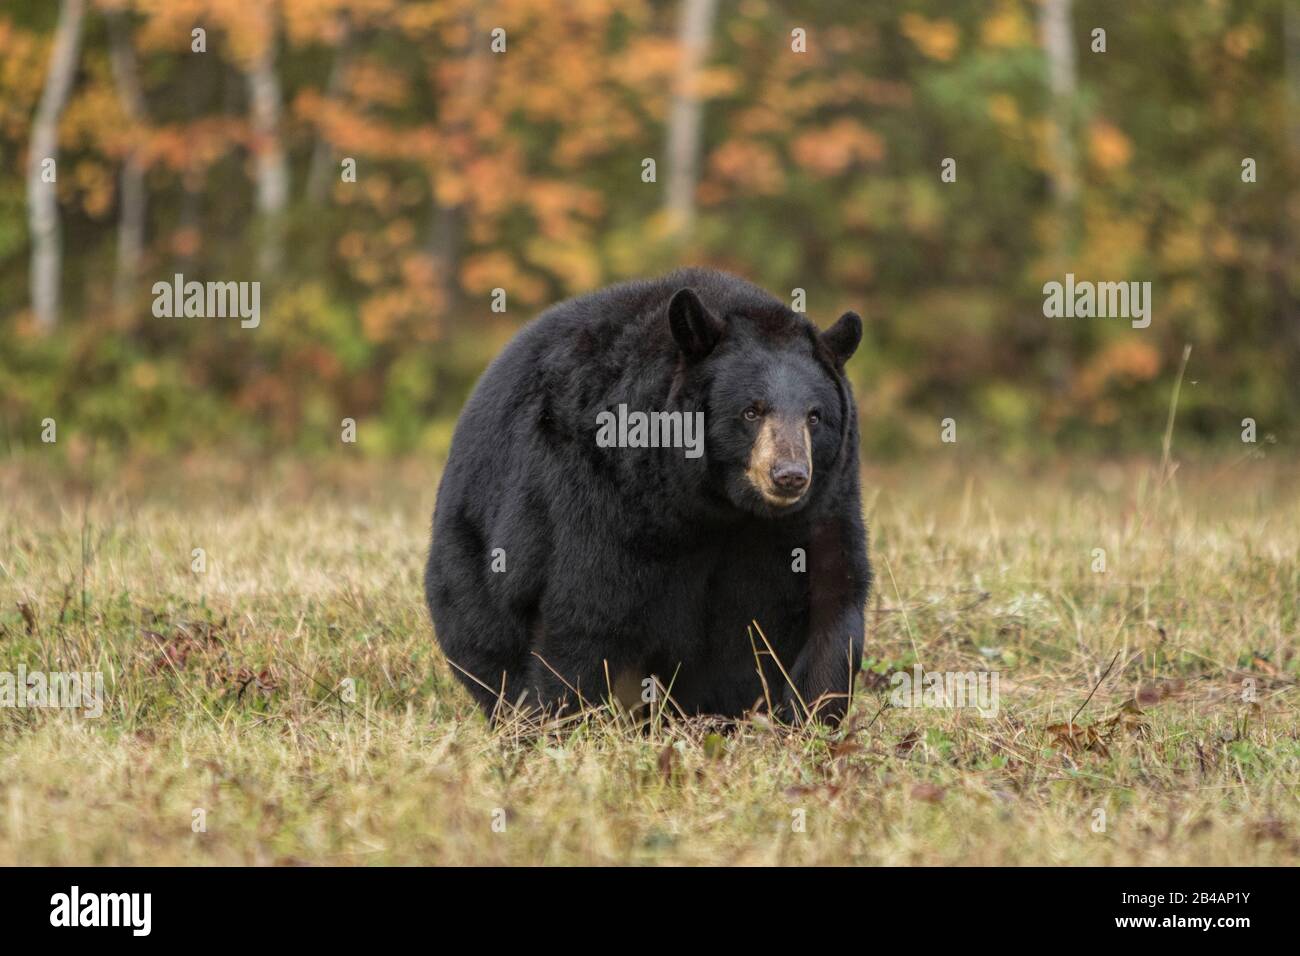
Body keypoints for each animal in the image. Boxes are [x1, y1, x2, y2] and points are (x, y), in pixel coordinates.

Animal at [424, 267, 871, 724]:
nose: (789, 475)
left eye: (814, 416)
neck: (719, 506)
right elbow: (587, 605)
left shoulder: (820, 508)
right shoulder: (604, 489)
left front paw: (812, 717)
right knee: (482, 630)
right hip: (472, 547)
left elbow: (832, 599)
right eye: (752, 410)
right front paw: (557, 718)